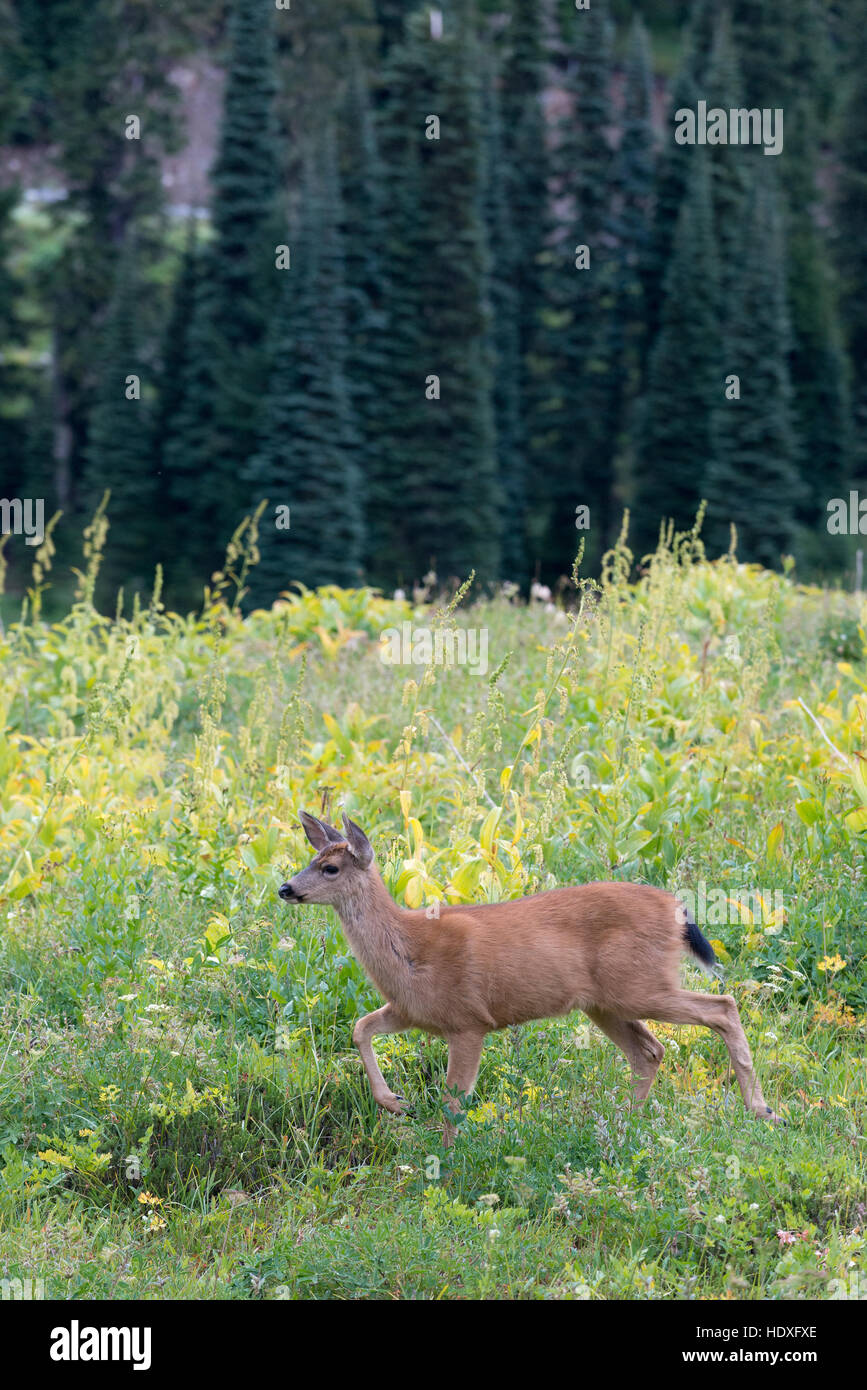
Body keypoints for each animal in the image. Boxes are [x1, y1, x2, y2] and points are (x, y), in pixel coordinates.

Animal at [278, 811, 783, 1144]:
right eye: (310, 860)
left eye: (330, 867)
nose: (286, 888)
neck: (410, 949)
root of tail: (678, 909)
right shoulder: (412, 1010)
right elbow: (360, 1027)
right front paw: (395, 1102)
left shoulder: (468, 1020)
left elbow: (453, 1101)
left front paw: (443, 1165)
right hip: (604, 1002)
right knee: (650, 1051)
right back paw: (623, 1126)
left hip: (640, 985)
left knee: (722, 1007)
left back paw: (761, 1110)